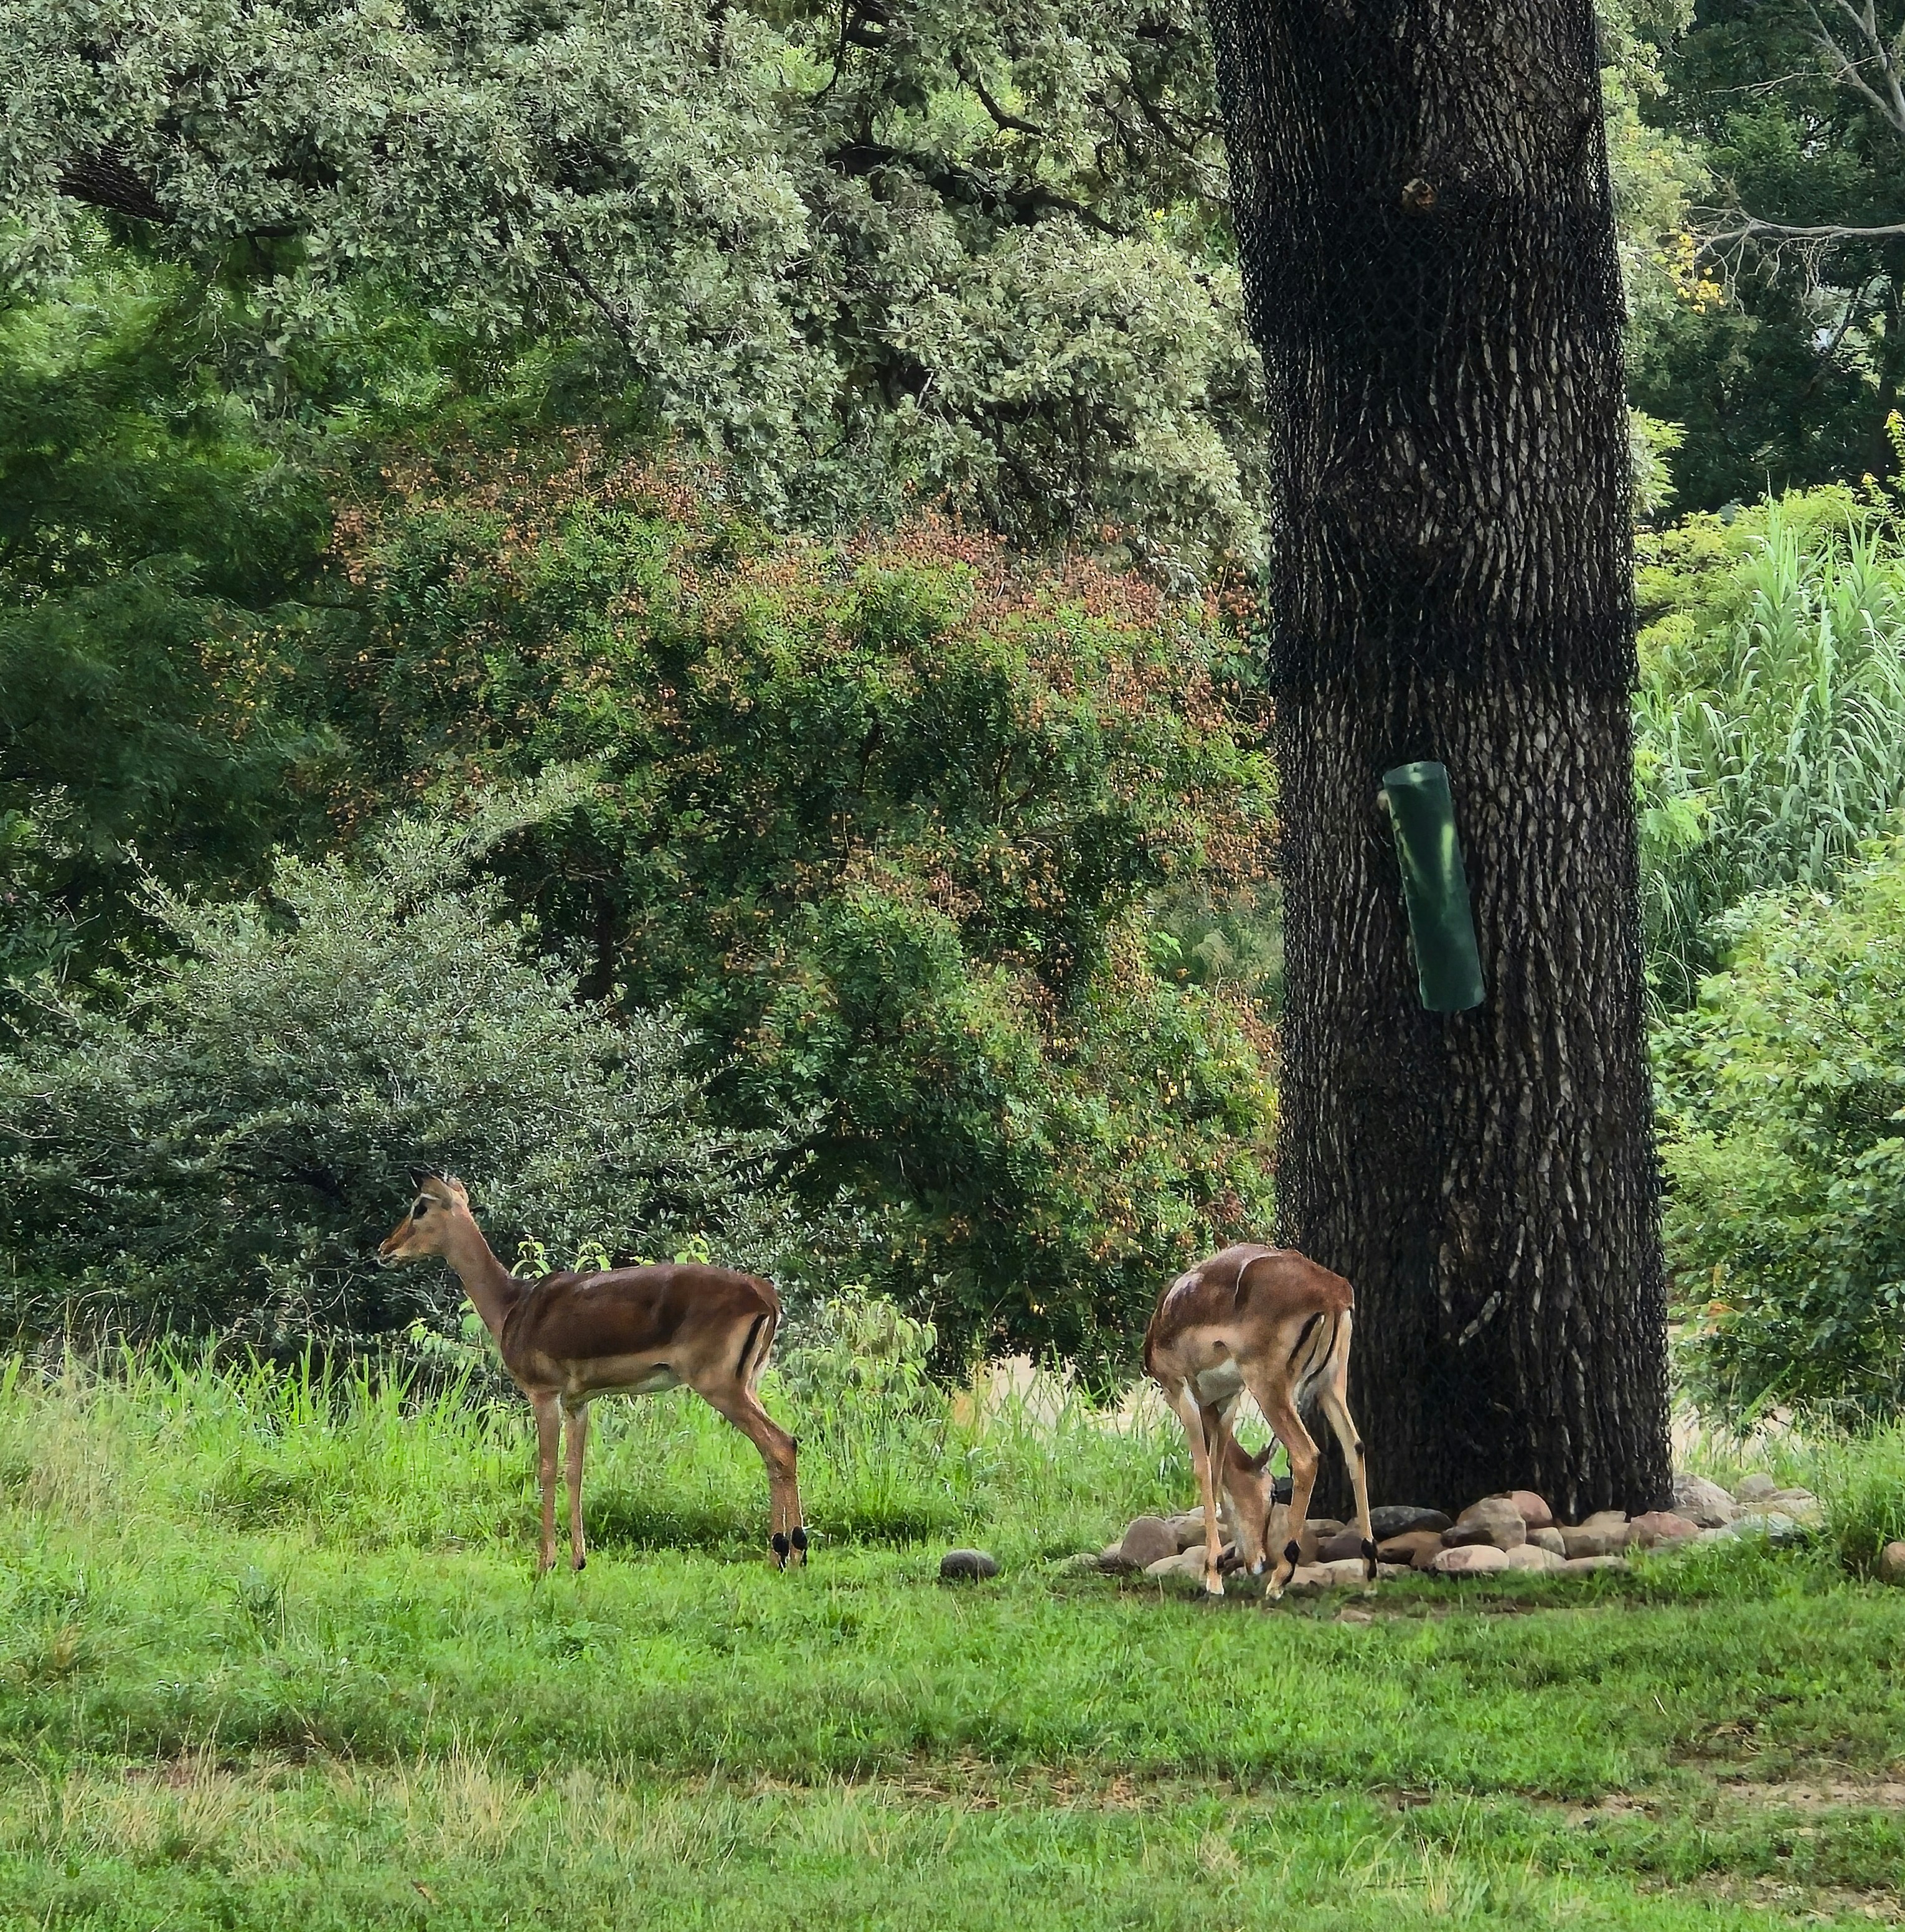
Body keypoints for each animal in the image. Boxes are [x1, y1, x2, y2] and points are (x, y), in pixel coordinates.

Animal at [377, 1171, 805, 1573]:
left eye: (420, 1207)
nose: (385, 1251)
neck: (514, 1305)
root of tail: (766, 1296)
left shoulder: (544, 1394)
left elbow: (547, 1468)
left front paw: (545, 1562)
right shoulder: (578, 1402)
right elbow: (576, 1470)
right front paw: (578, 1560)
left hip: (720, 1387)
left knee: (780, 1445)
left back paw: (787, 1554)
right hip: (747, 1384)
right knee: (782, 1448)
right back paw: (788, 1553)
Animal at [1144, 1243, 1376, 1600]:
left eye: (1273, 1495)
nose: (1259, 1560)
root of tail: (1334, 1292)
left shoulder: (1182, 1393)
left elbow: (1203, 1469)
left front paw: (1213, 1575)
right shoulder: (1226, 1400)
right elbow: (1217, 1468)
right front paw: (1222, 1564)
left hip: (1270, 1388)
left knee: (1307, 1454)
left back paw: (1281, 1577)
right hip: (1330, 1385)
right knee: (1356, 1447)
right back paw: (1369, 1572)